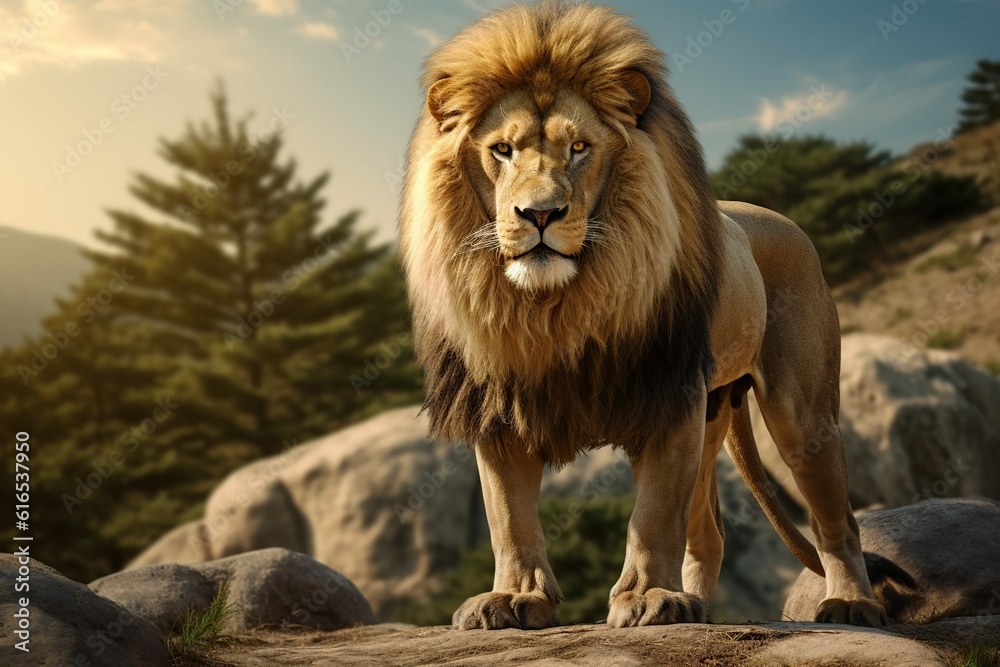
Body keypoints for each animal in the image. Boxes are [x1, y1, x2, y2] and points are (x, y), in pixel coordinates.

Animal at [400, 1, 890, 629]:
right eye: (502, 151)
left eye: (579, 148)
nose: (540, 214)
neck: (554, 308)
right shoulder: (501, 408)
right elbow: (509, 519)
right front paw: (514, 598)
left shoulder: (669, 394)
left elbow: (653, 515)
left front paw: (647, 597)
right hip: (714, 414)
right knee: (709, 535)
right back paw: (699, 607)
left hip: (799, 412)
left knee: (837, 520)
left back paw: (850, 604)